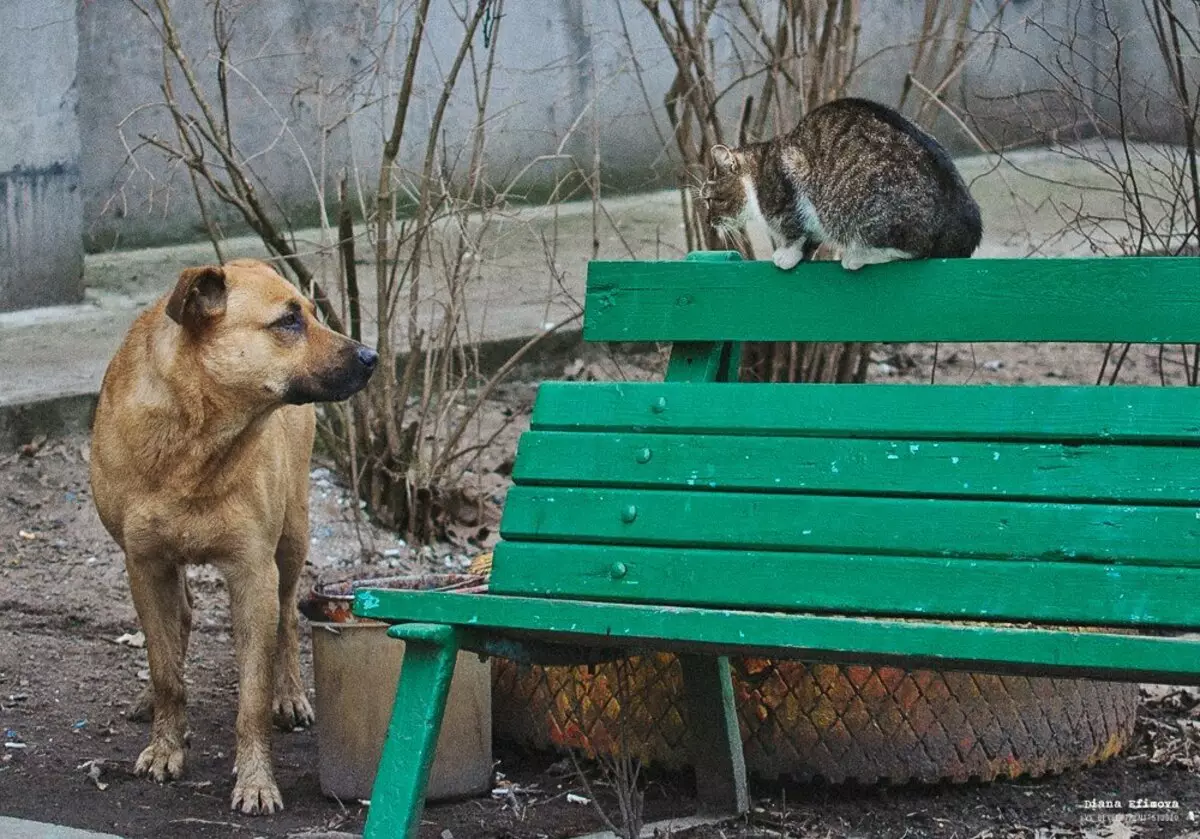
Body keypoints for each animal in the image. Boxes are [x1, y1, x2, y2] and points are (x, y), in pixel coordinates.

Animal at [89, 258, 376, 816]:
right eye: (288, 321)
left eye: (313, 313)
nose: (371, 357)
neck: (198, 441)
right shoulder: (145, 563)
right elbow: (165, 669)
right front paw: (166, 746)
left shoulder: (253, 571)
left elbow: (253, 696)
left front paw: (256, 779)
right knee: (178, 623)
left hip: (293, 533)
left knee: (288, 615)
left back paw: (290, 694)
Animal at [705, 97, 979, 271]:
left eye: (709, 199)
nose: (709, 222)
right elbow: (810, 237)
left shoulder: (791, 179)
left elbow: (794, 230)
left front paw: (787, 254)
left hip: (852, 210)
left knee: (915, 249)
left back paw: (859, 256)